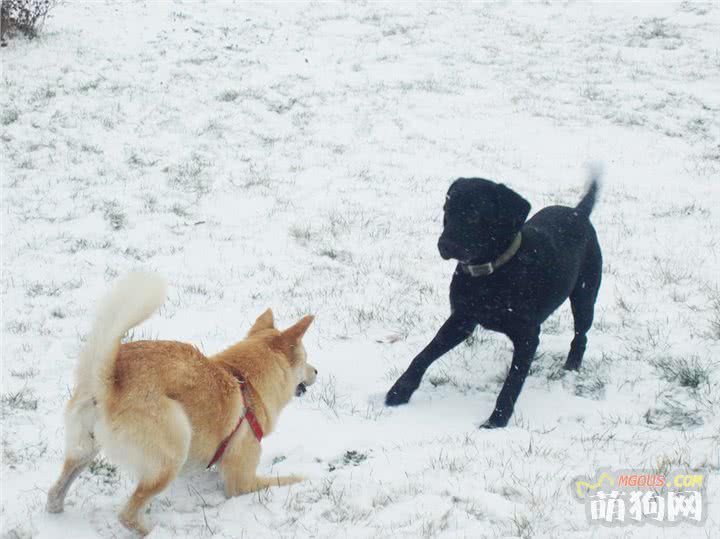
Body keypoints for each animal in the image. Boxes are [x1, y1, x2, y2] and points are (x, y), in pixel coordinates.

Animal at [45, 274, 316, 536]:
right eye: (306, 359)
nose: (316, 371)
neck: (245, 382)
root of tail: (109, 379)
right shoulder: (241, 483)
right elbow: (285, 480)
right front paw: (305, 478)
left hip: (84, 449)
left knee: (55, 494)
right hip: (173, 448)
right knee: (128, 514)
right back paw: (151, 531)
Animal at [388, 175, 600, 428]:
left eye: (473, 215)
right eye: (447, 210)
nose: (443, 245)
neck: (490, 275)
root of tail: (579, 212)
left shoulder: (528, 336)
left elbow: (512, 383)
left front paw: (497, 420)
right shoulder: (461, 319)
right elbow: (424, 354)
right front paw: (400, 391)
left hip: (585, 295)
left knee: (582, 335)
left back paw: (571, 366)